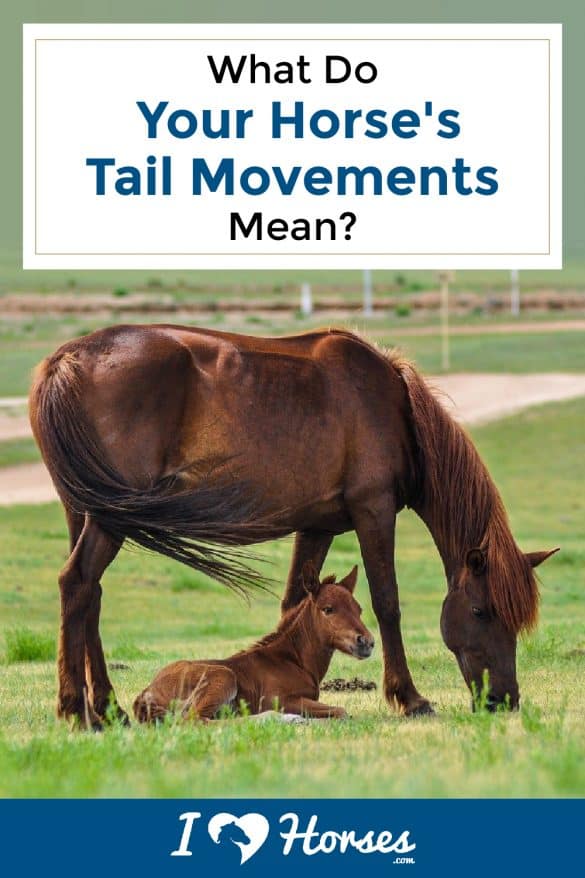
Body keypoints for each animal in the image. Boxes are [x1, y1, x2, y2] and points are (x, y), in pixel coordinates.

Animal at [133, 563, 373, 722]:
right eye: (328, 609)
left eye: (359, 609)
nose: (367, 642)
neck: (293, 660)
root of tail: (147, 692)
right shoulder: (280, 699)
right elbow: (341, 711)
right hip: (223, 677)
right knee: (196, 721)